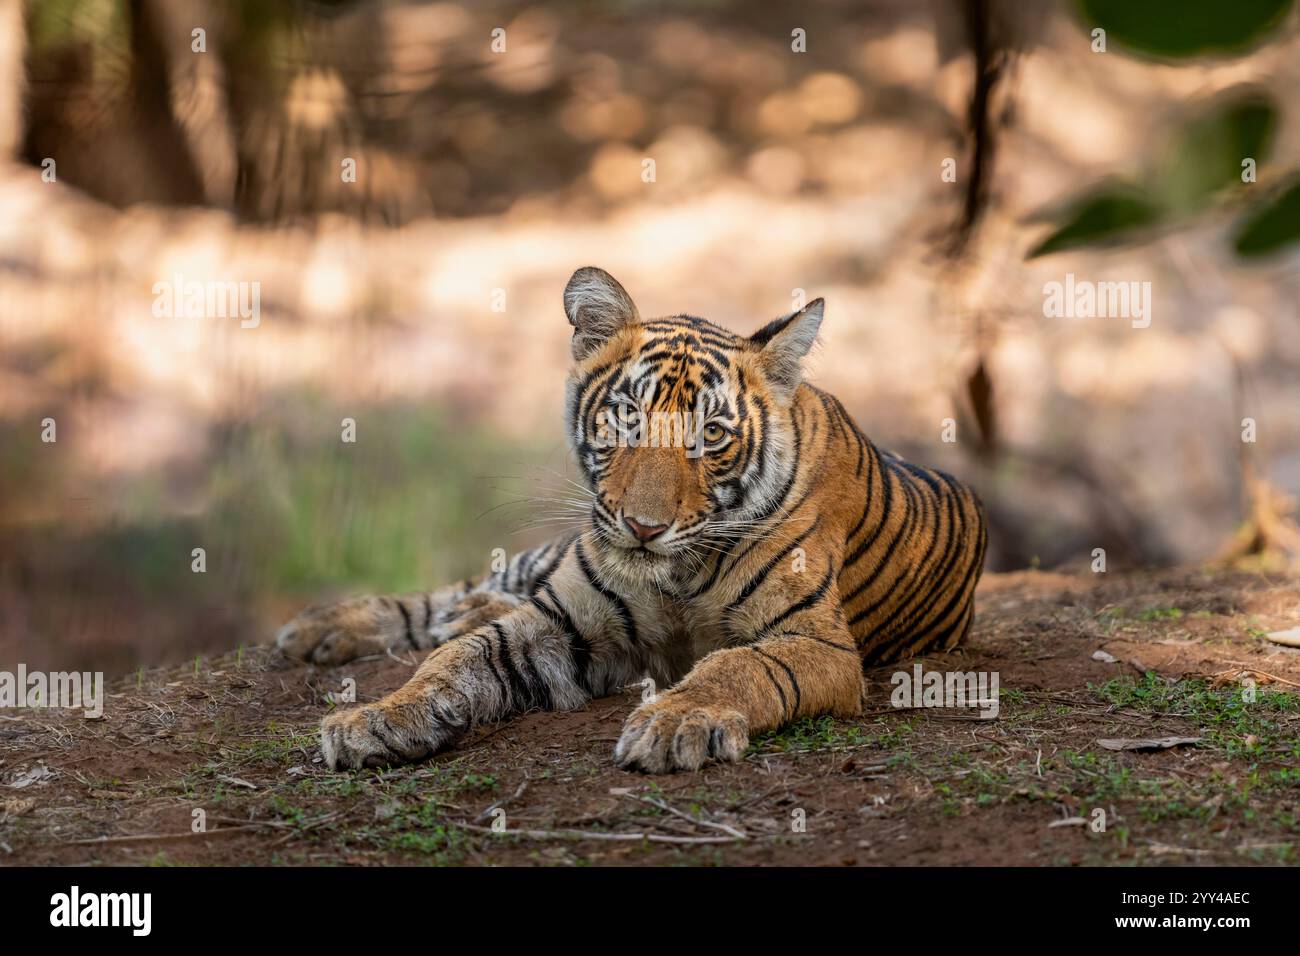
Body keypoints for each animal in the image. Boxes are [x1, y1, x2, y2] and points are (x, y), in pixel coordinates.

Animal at [276, 267, 988, 772]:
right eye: (626, 417)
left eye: (712, 434)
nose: (644, 527)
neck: (677, 573)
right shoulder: (564, 618)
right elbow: (458, 660)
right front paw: (374, 720)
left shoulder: (816, 642)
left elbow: (738, 667)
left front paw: (675, 724)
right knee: (464, 594)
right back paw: (323, 626)